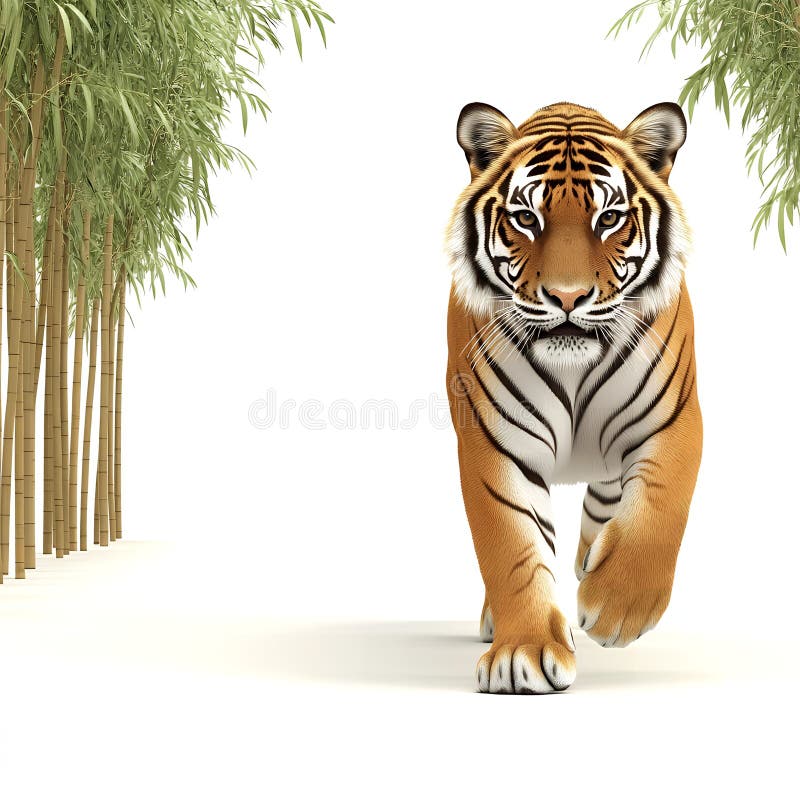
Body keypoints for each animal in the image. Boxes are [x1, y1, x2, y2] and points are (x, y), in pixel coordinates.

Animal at [445, 100, 702, 694]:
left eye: (608, 219)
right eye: (525, 218)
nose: (567, 298)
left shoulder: (675, 419)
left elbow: (660, 502)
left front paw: (617, 605)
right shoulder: (493, 442)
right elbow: (513, 548)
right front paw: (523, 653)